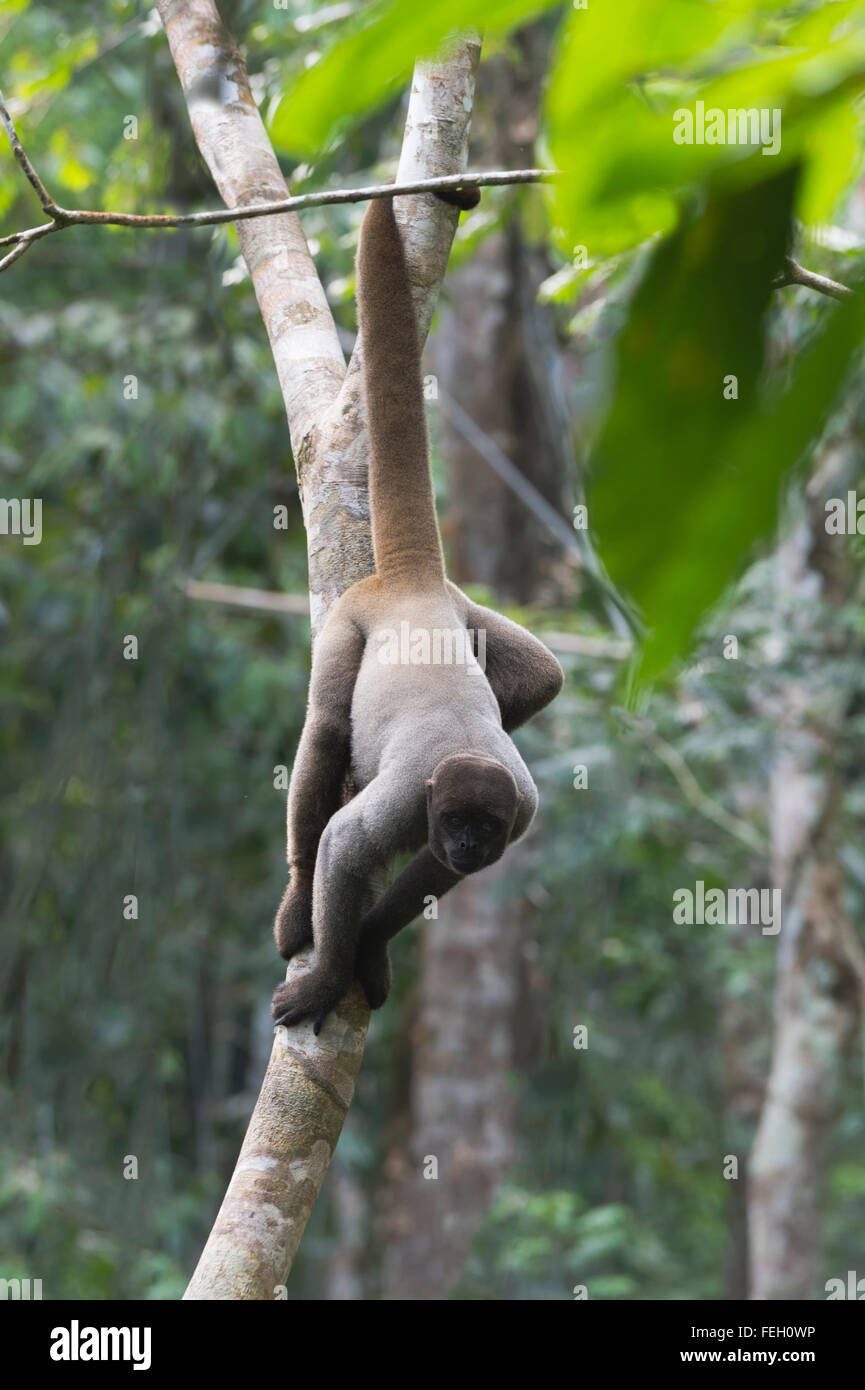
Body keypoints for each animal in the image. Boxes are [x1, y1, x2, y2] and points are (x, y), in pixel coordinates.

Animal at [270, 189, 563, 1034]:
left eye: (484, 829)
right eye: (459, 821)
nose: (467, 844)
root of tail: (410, 579)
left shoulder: (520, 811)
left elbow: (430, 879)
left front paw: (369, 947)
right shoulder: (408, 803)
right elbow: (344, 845)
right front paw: (326, 974)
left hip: (462, 605)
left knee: (544, 675)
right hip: (348, 619)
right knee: (324, 732)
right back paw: (295, 904)